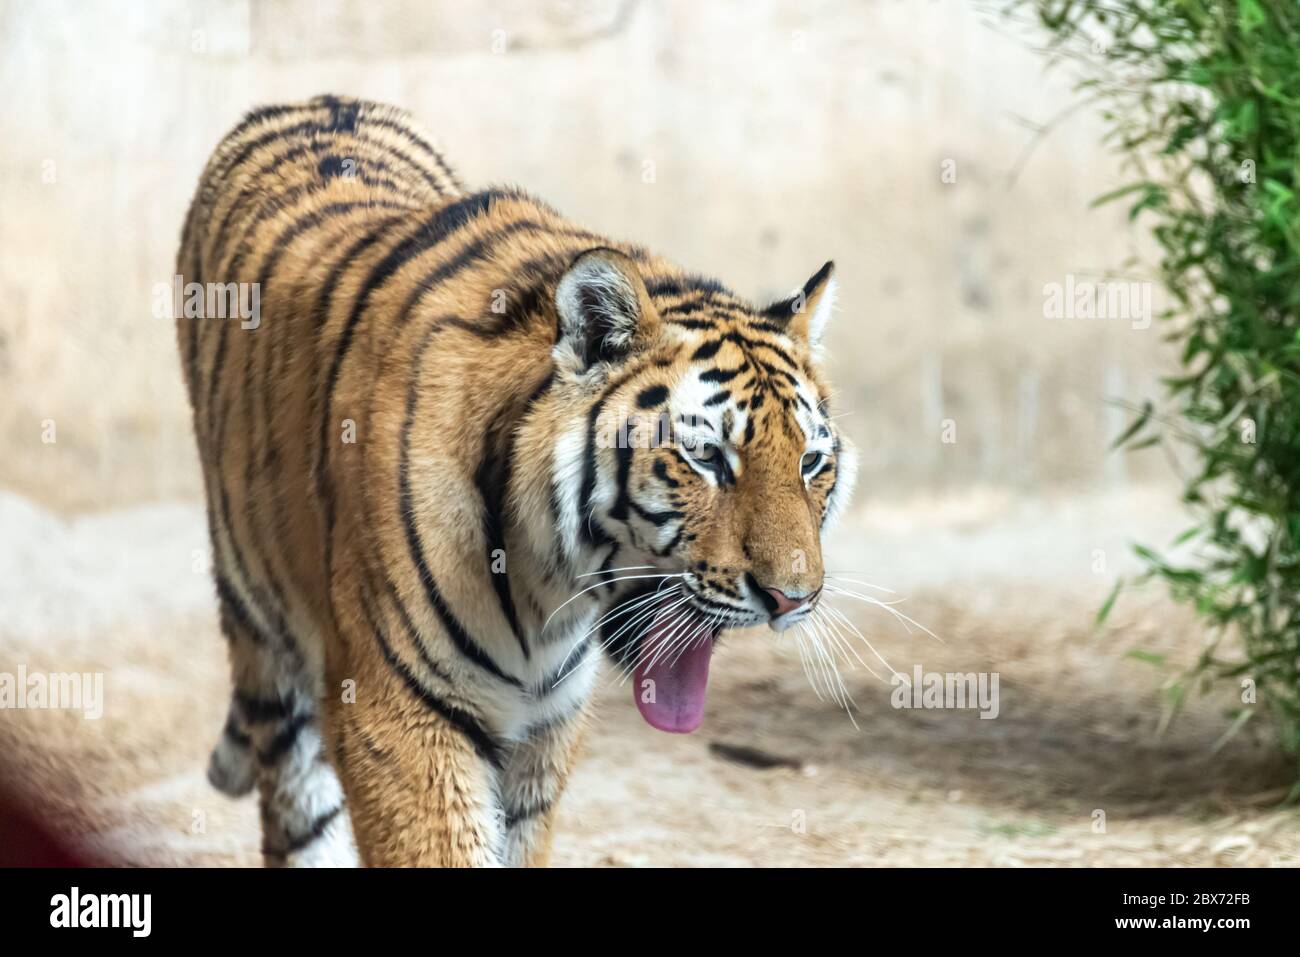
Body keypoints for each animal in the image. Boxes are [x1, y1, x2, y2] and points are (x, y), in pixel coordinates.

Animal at [176, 95, 857, 867]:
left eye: (811, 463)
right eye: (708, 457)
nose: (792, 599)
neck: (547, 590)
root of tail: (316, 99)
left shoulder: (546, 723)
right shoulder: (398, 714)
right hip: (268, 637)